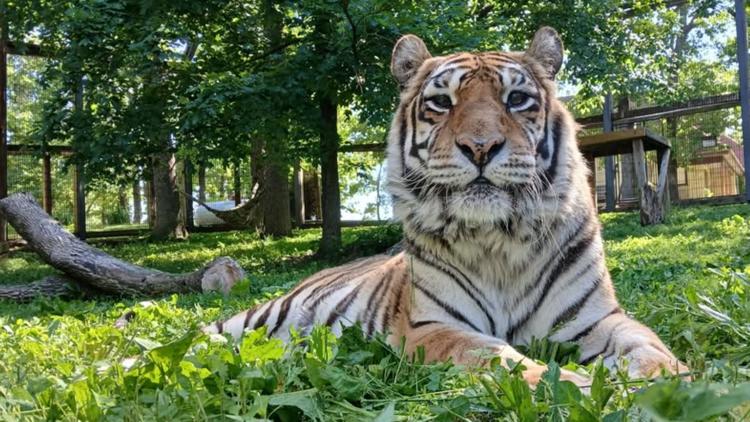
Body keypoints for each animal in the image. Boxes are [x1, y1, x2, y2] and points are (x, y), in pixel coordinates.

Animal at [205, 27, 688, 387]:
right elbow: (498, 357)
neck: (500, 239)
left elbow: (649, 344)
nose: (480, 147)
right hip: (259, 315)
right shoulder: (434, 326)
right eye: (441, 102)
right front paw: (575, 384)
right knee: (209, 332)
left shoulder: (596, 318)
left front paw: (667, 378)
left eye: (517, 99)